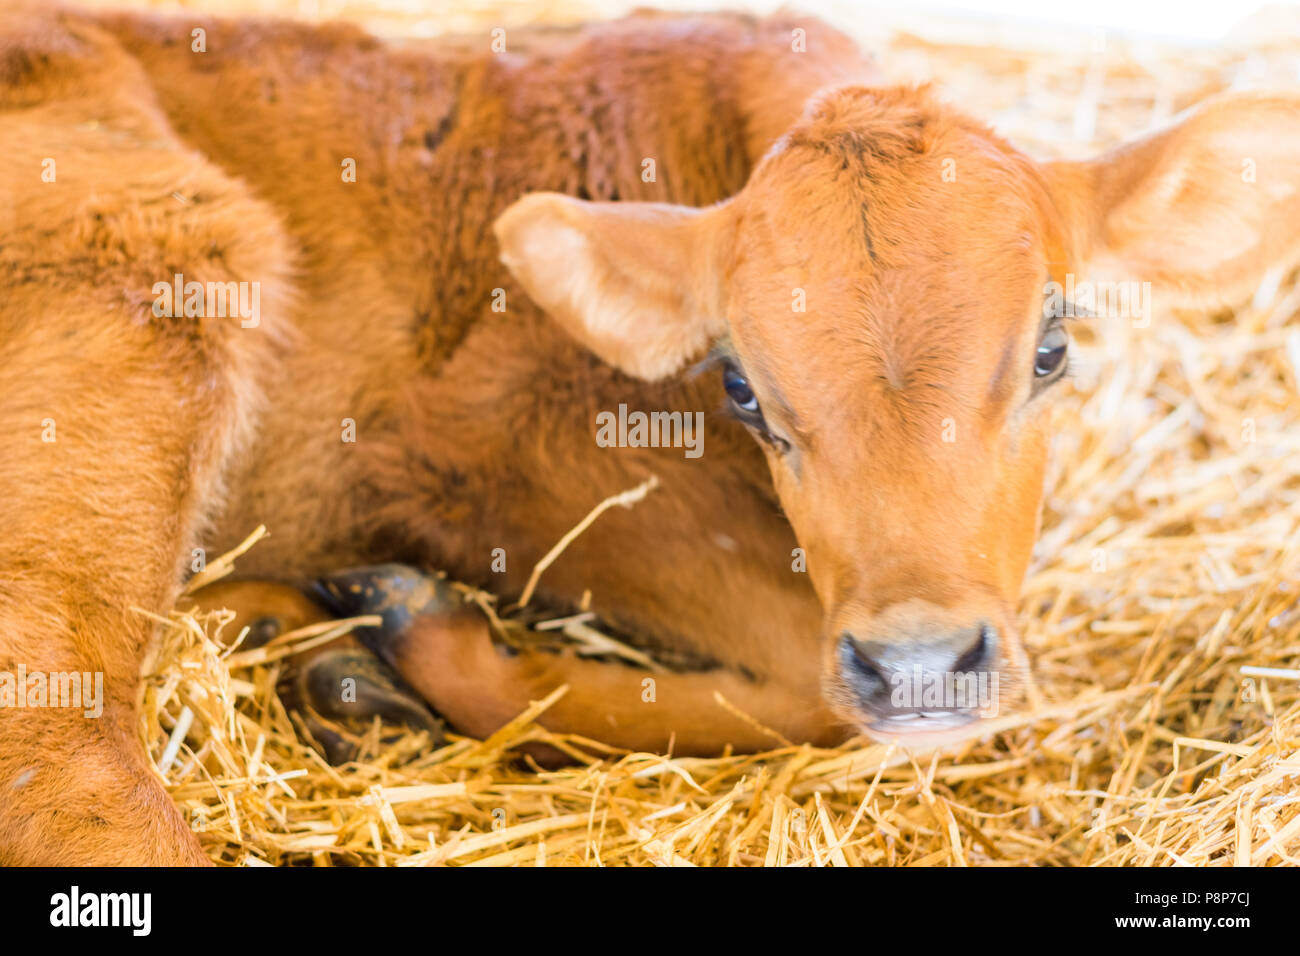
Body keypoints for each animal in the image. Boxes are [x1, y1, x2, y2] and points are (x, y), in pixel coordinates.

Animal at [1, 3, 1298, 864]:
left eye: (1051, 348)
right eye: (740, 388)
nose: (922, 662)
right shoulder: (478, 462)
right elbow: (809, 681)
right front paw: (435, 639)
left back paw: (306, 650)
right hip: (170, 249)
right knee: (60, 725)